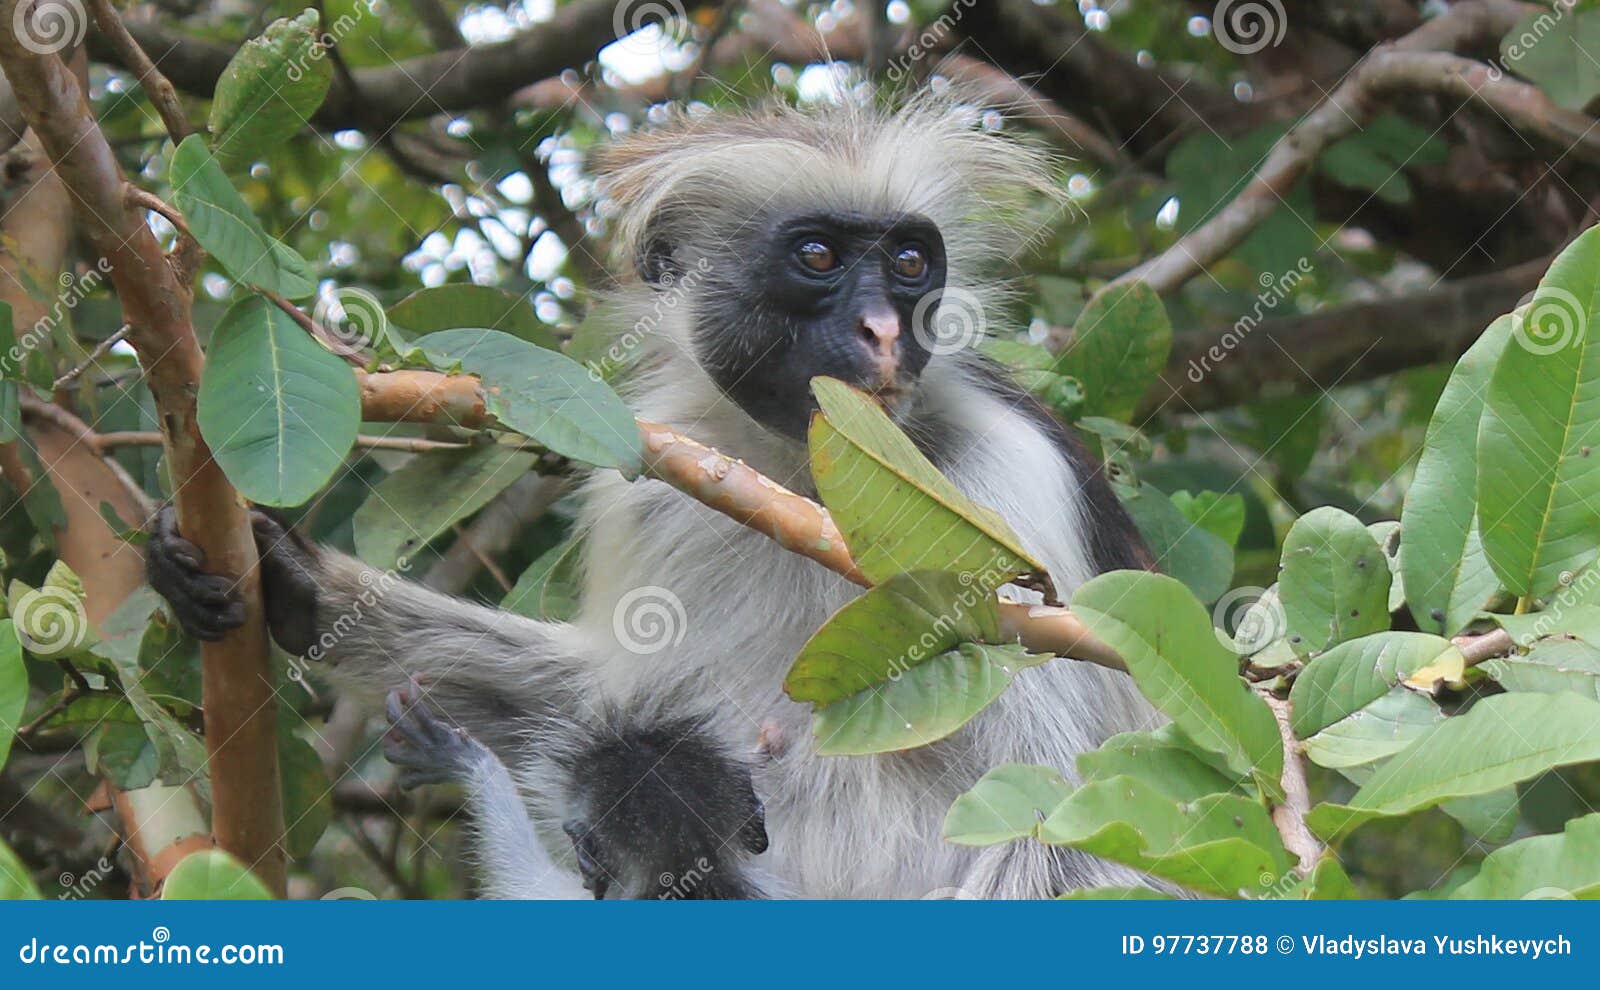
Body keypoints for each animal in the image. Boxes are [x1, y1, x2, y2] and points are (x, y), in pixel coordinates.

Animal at [148, 90, 1161, 899]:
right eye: (819, 255)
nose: (883, 328)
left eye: (911, 263)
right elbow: (601, 698)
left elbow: (1055, 824)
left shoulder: (1003, 487)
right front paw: (298, 584)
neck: (811, 479)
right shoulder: (652, 489)